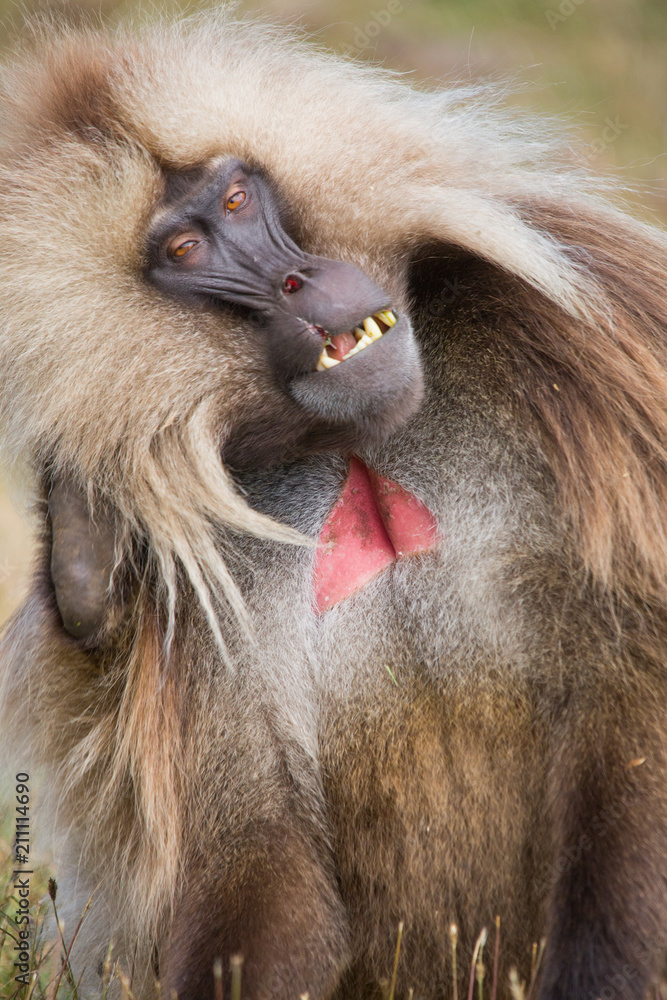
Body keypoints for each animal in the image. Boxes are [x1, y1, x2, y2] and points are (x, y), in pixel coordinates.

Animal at [1, 13, 667, 1000]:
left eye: (239, 199)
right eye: (186, 251)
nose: (298, 281)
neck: (357, 446)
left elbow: (628, 727)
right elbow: (253, 844)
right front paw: (84, 547)